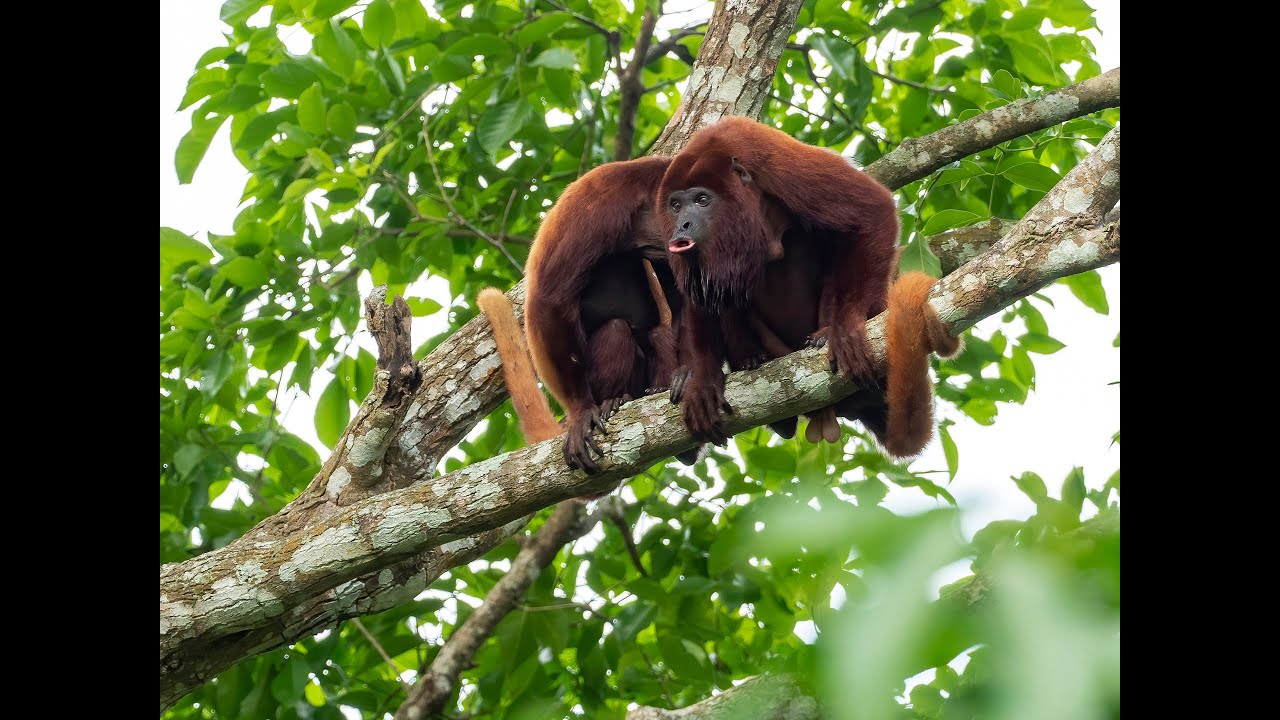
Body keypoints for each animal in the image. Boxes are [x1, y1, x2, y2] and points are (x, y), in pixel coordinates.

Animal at [657, 116, 963, 458]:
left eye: (702, 200)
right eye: (675, 205)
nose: (682, 225)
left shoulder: (775, 164)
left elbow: (873, 209)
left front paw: (845, 326)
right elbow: (699, 295)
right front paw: (702, 380)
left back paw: (826, 334)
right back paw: (753, 365)